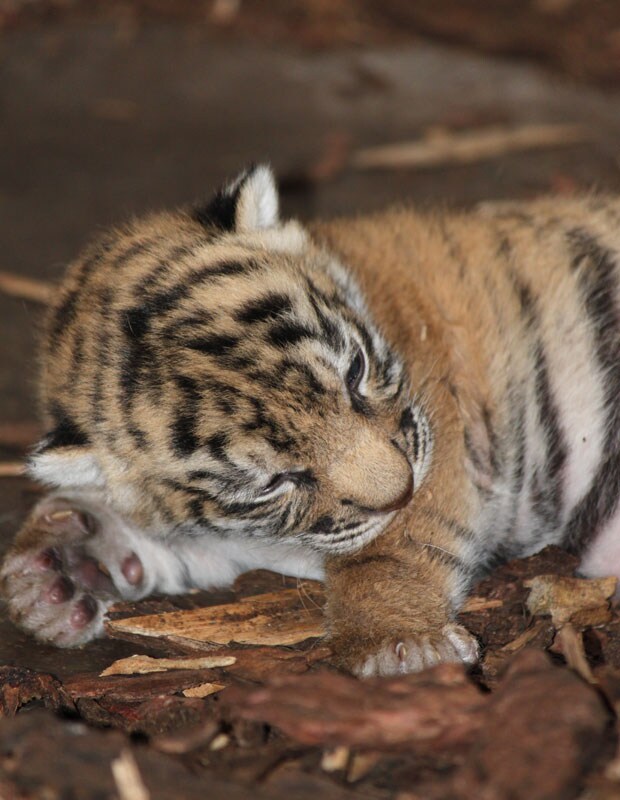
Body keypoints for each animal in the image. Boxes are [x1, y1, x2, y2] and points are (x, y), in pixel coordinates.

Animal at [2, 164, 620, 677]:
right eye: (275, 481)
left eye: (355, 371)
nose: (400, 490)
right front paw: (56, 570)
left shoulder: (442, 429)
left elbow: (387, 551)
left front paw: (397, 644)